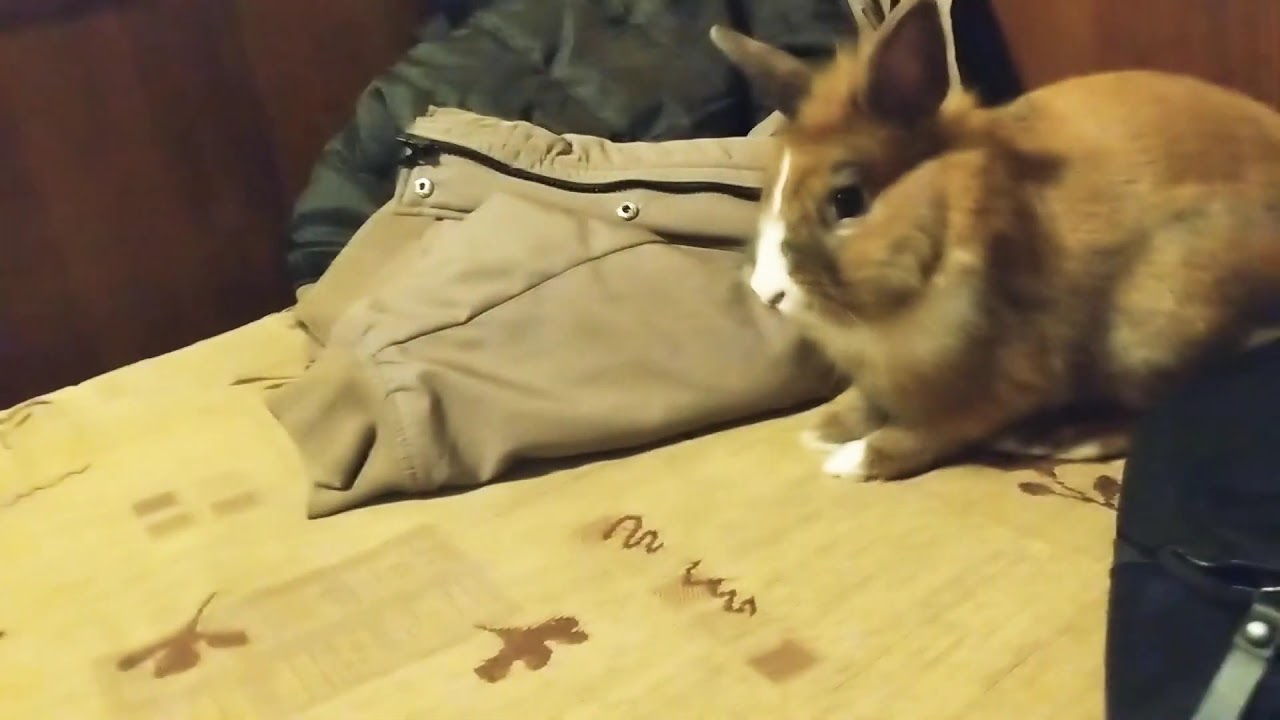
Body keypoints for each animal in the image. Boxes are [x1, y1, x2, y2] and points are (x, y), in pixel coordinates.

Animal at [709, 0, 1280, 481]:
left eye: (847, 200)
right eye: (769, 189)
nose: (767, 293)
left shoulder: (1002, 382)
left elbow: (926, 432)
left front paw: (852, 459)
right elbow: (864, 401)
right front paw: (824, 427)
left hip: (1156, 320)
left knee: (1148, 411)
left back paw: (1060, 439)